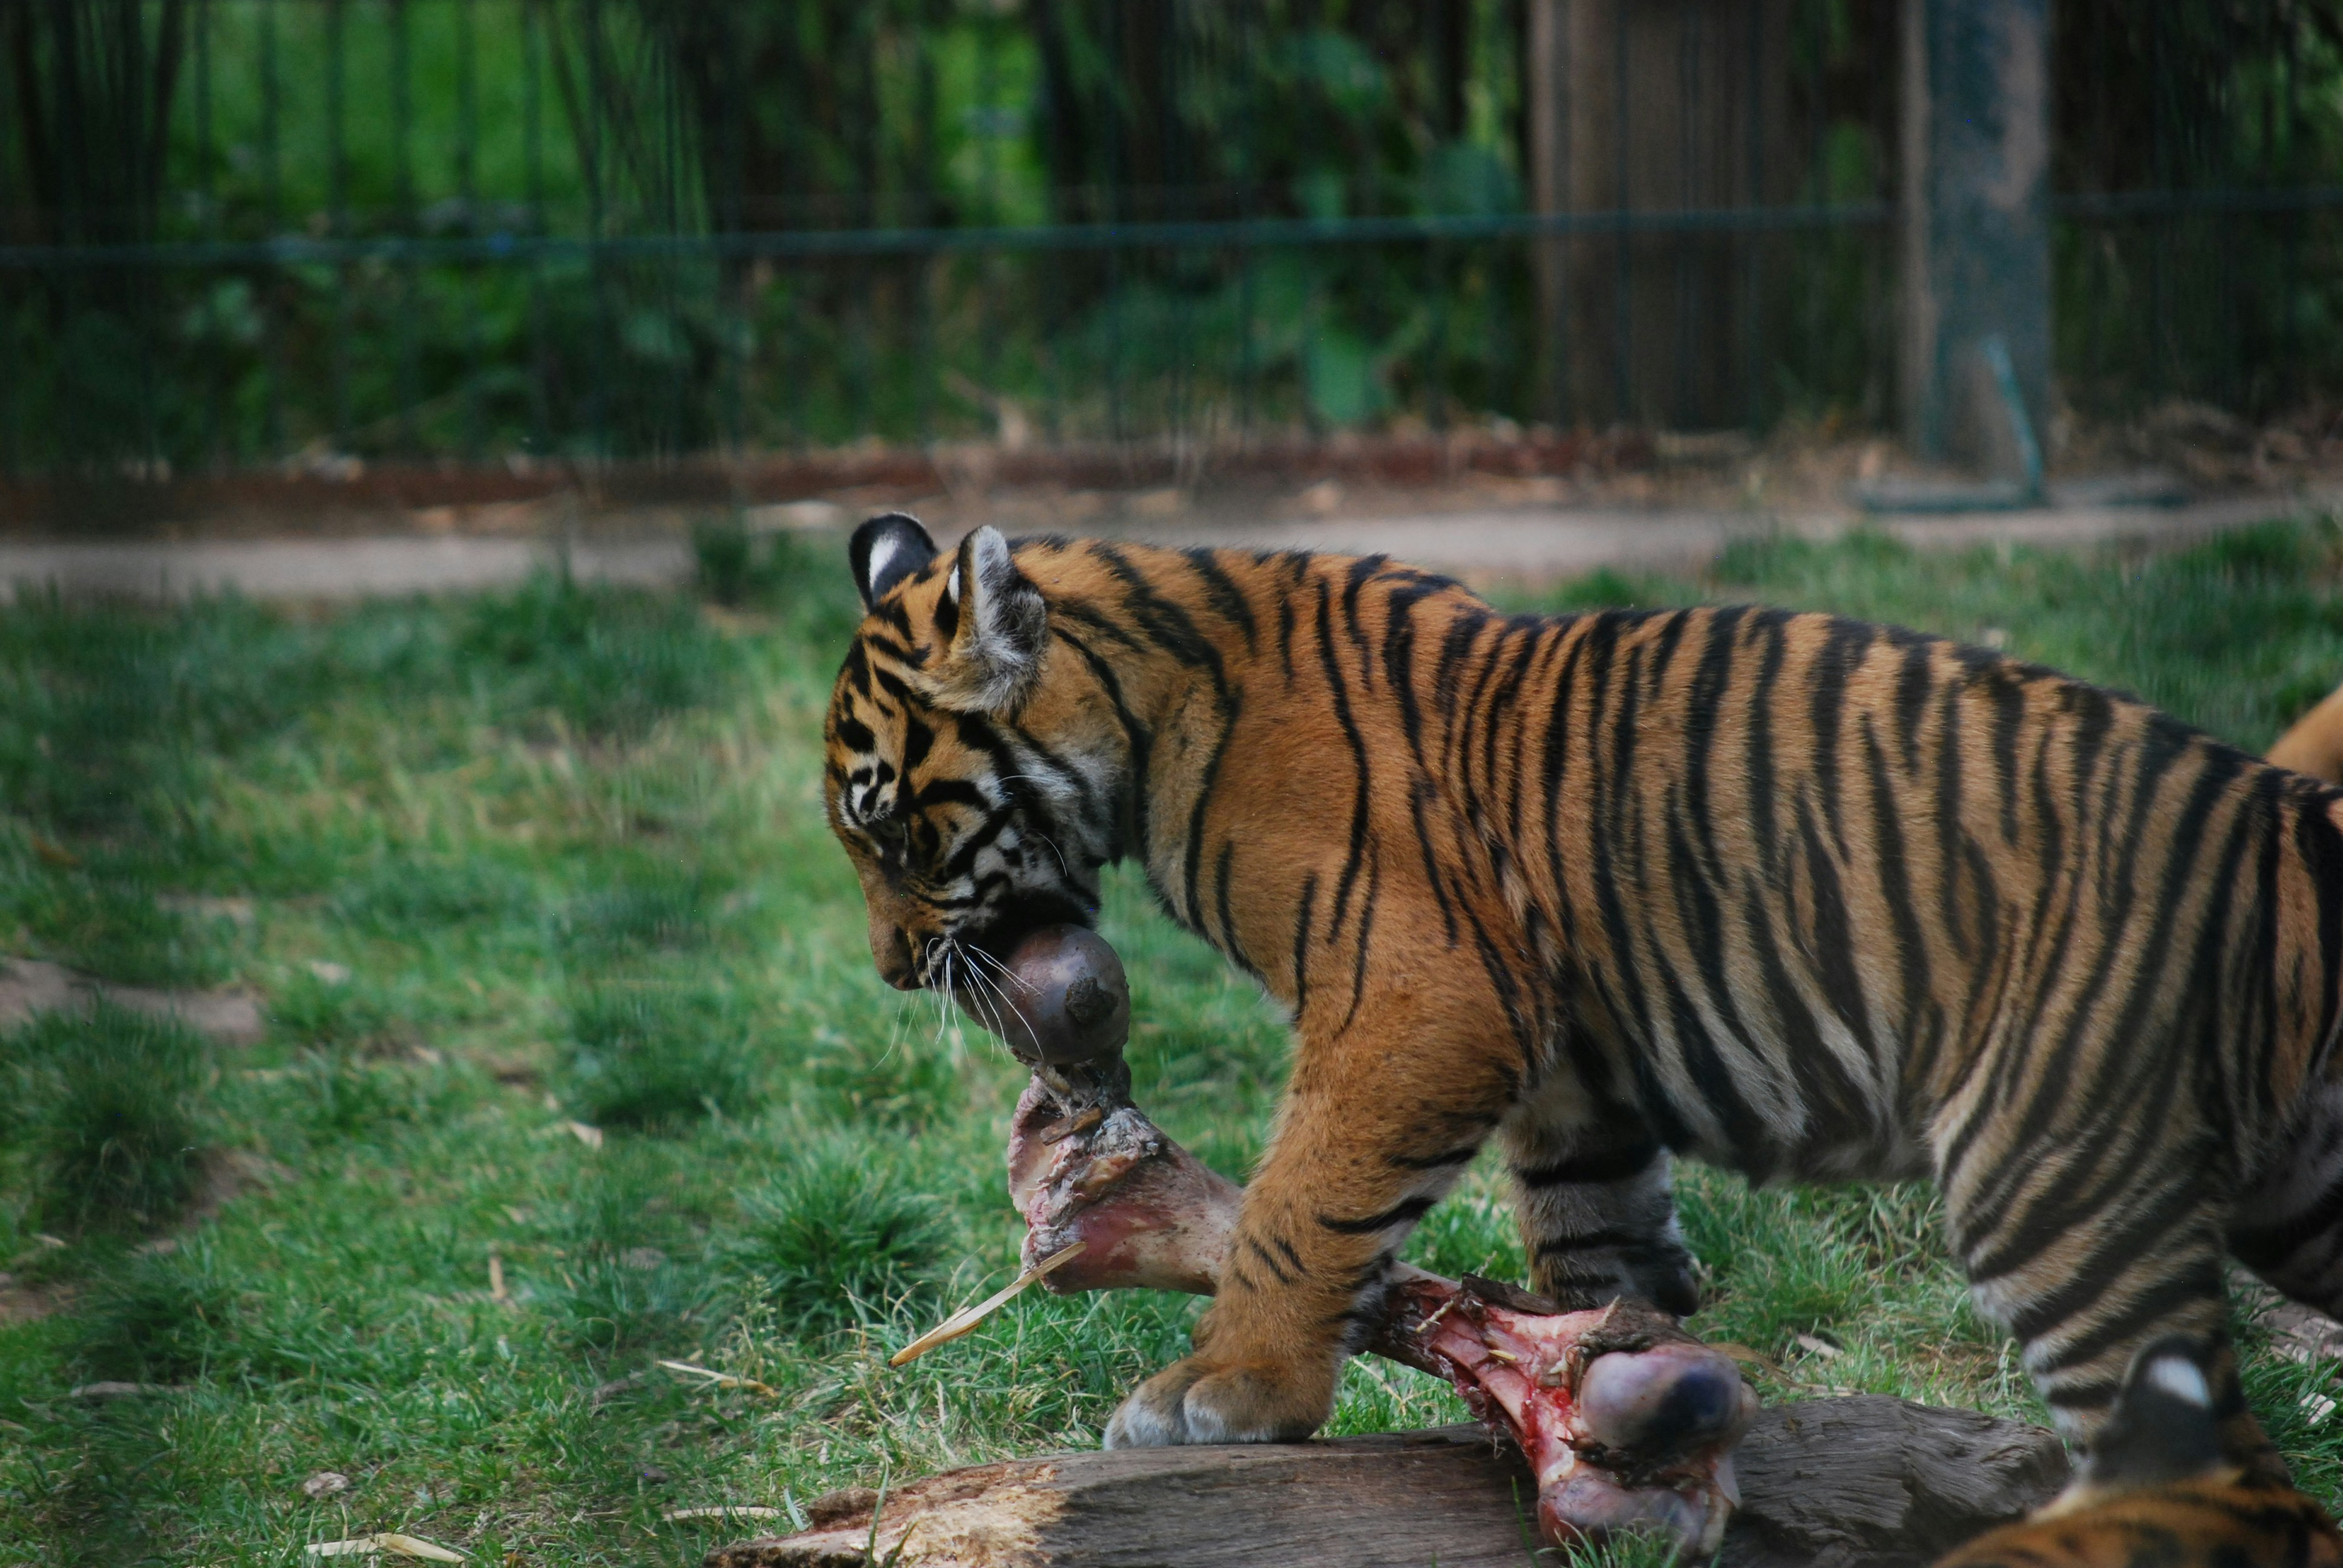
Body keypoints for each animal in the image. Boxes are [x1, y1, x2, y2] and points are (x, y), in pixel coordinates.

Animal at [823, 511, 2343, 1492]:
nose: (891, 968)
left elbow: (1300, 1204)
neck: (1147, 716)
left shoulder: (1412, 1000)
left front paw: (1227, 1392)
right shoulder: (1569, 1077)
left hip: (2059, 1194)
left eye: (888, 826)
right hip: (2297, 1188)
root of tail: (2277, 819)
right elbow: (1597, 1246)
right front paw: (1612, 1405)